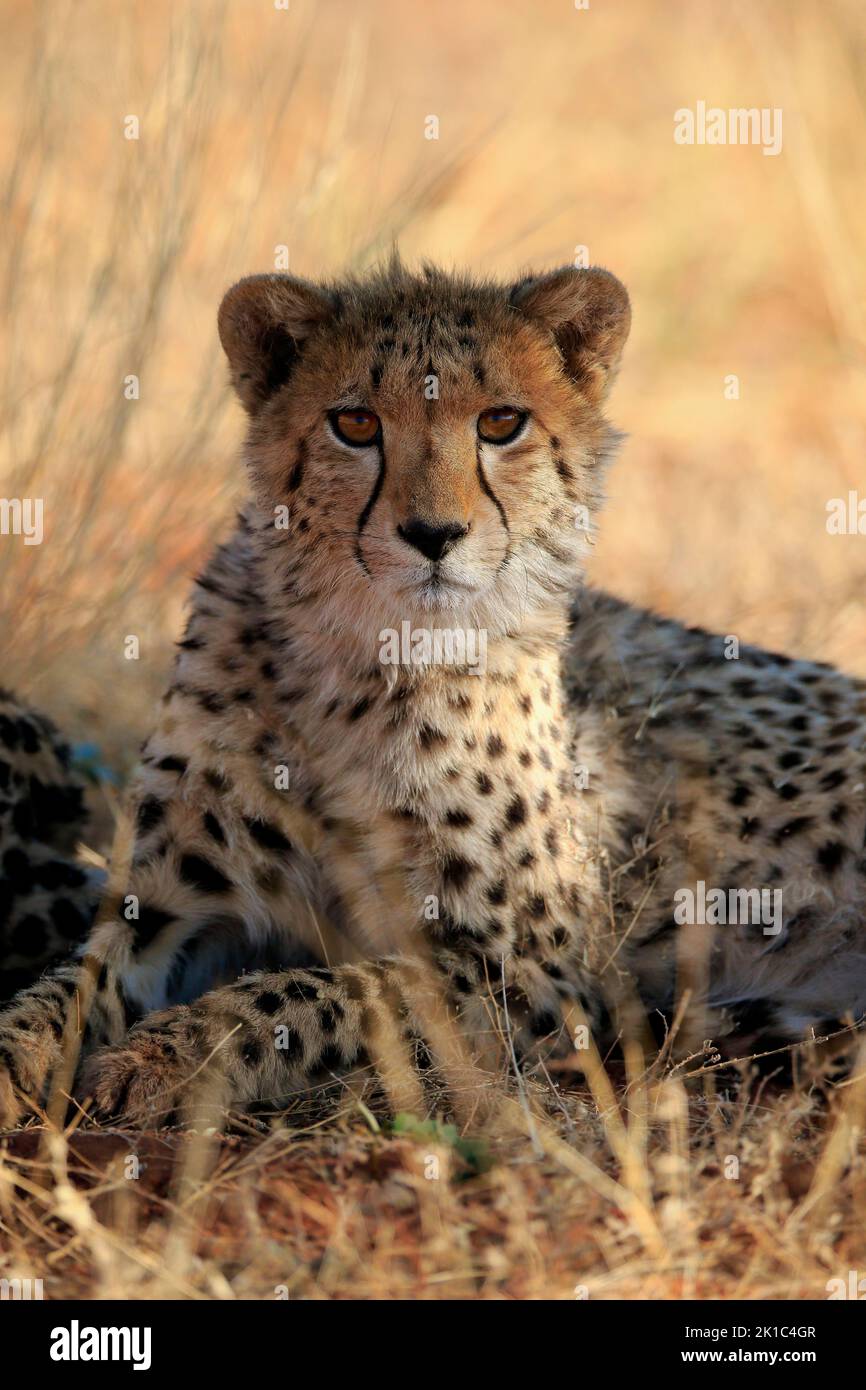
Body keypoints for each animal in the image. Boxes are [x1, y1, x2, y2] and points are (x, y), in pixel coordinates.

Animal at [1, 255, 866, 1132]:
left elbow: (324, 992)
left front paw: (167, 1054)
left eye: (501, 422)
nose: (434, 535)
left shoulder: (537, 962)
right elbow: (66, 987)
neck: (365, 660)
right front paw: (18, 1057)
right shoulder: (168, 900)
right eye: (354, 424)